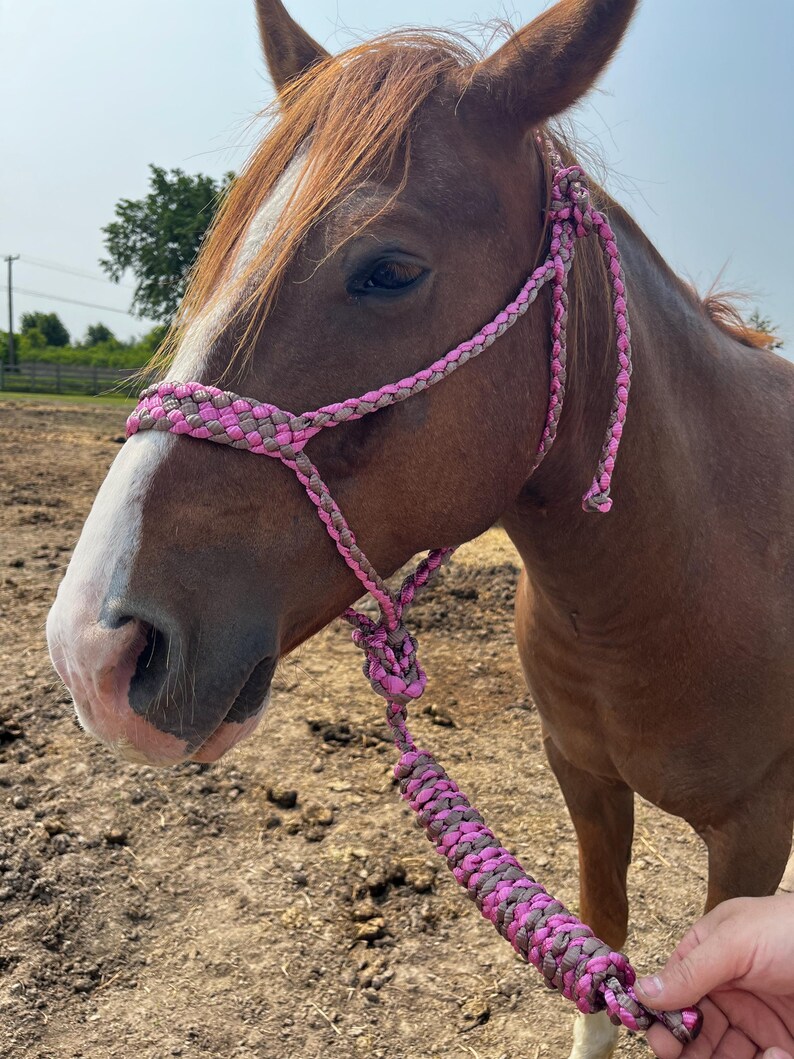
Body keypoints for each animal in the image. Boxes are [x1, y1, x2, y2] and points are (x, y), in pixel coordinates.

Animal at [46, 1, 794, 1055]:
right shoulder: (585, 781)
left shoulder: (753, 841)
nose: (93, 651)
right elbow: (602, 960)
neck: (679, 578)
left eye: (390, 269)